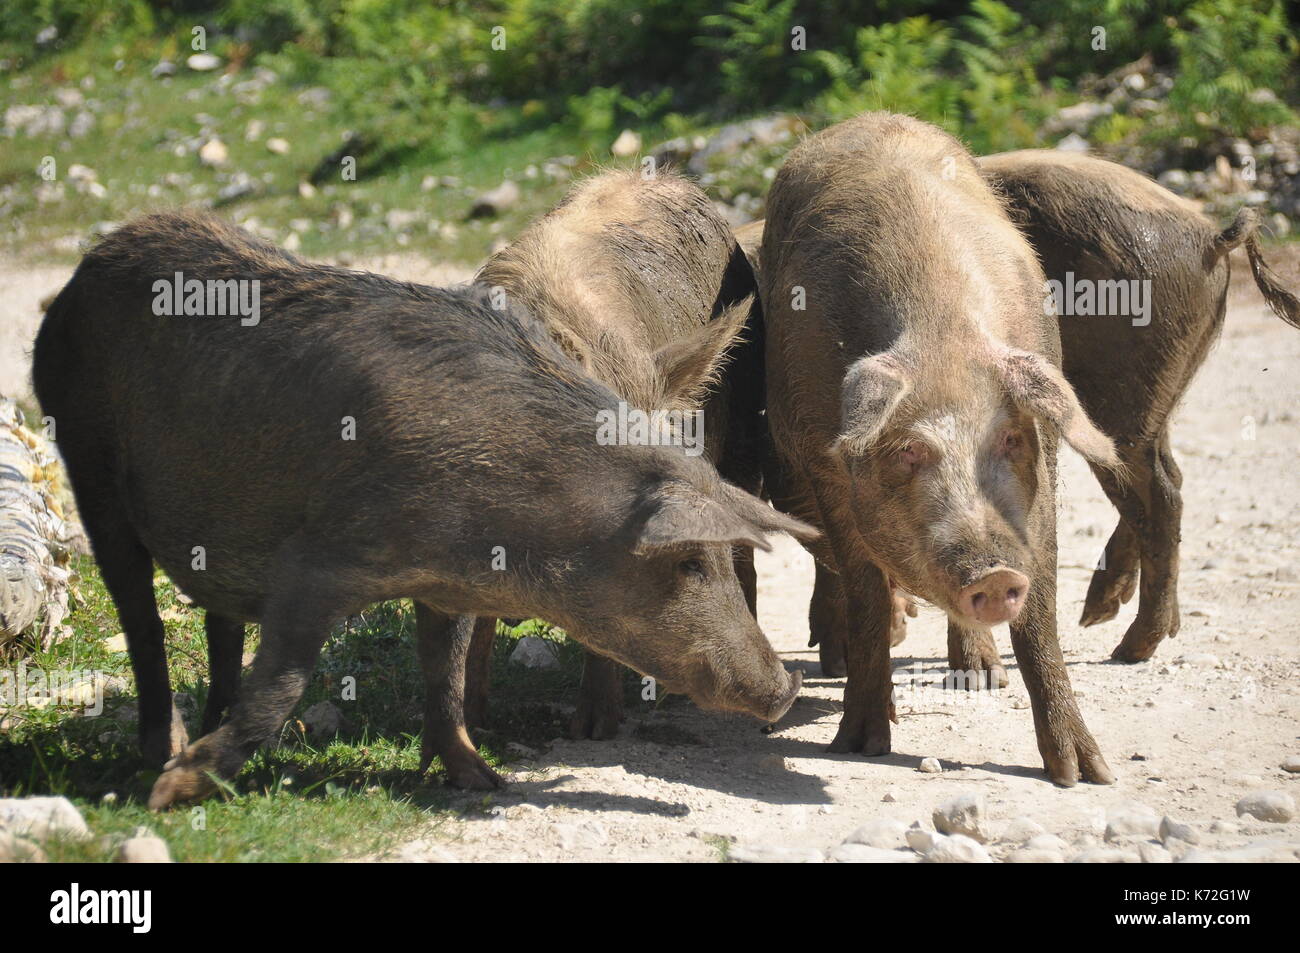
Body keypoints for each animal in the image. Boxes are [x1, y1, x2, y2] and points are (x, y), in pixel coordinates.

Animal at [761, 112, 1116, 785]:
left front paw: (1086, 774)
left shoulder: (1045, 463)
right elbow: (866, 592)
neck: (943, 330)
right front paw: (860, 745)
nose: (995, 575)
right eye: (906, 451)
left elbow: (1042, 606)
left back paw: (979, 677)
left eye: (1010, 438)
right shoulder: (823, 460)